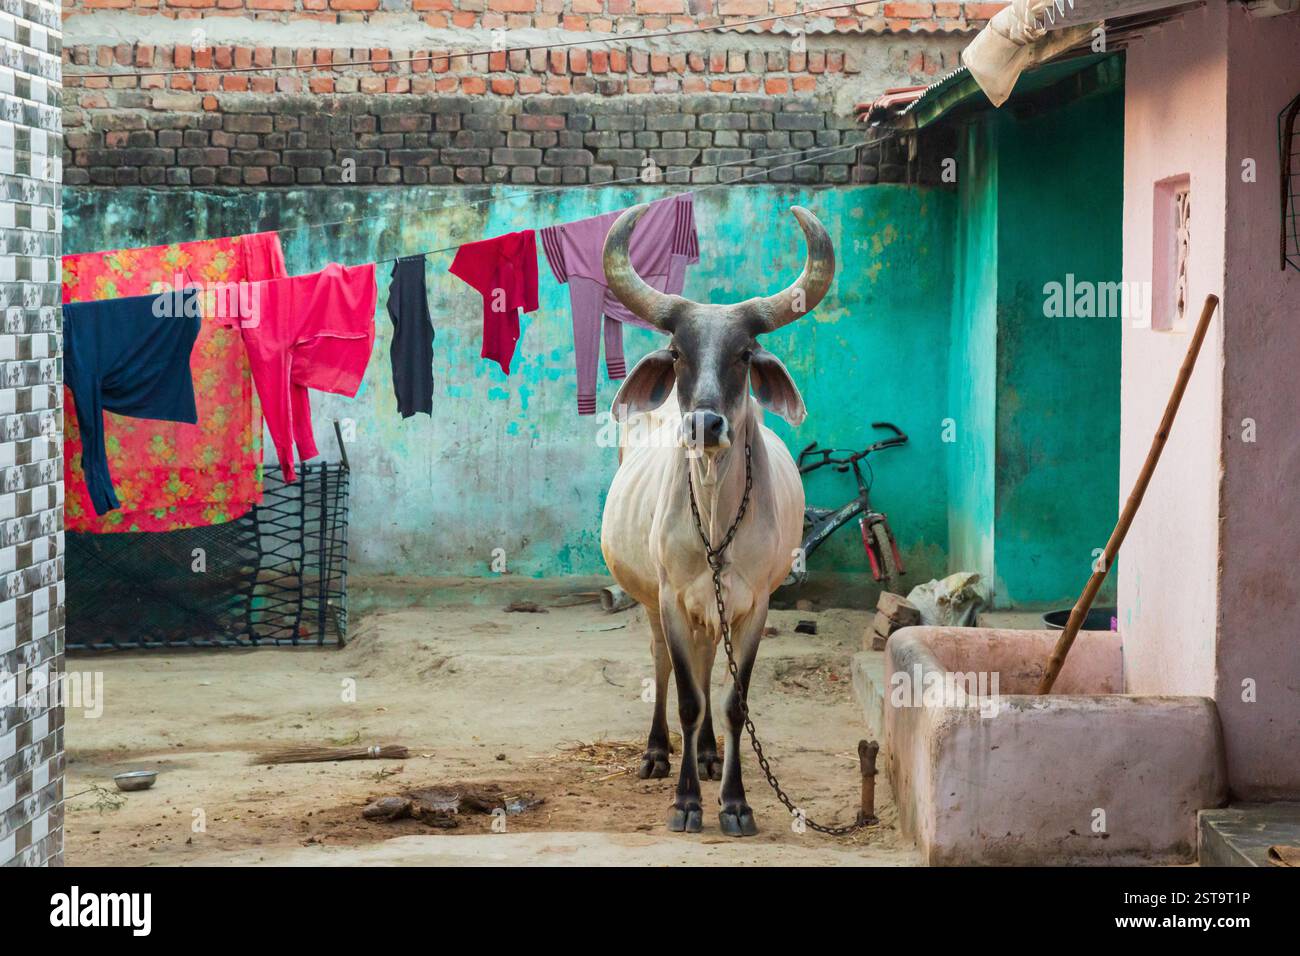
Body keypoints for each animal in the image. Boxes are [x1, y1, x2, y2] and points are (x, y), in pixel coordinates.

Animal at [599, 204, 834, 836]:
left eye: (745, 354)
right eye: (678, 352)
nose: (704, 425)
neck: (714, 510)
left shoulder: (754, 606)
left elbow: (732, 703)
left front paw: (734, 802)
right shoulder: (673, 598)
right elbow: (686, 697)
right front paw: (685, 803)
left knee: (709, 671)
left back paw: (705, 754)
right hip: (655, 601)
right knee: (666, 667)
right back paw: (660, 752)